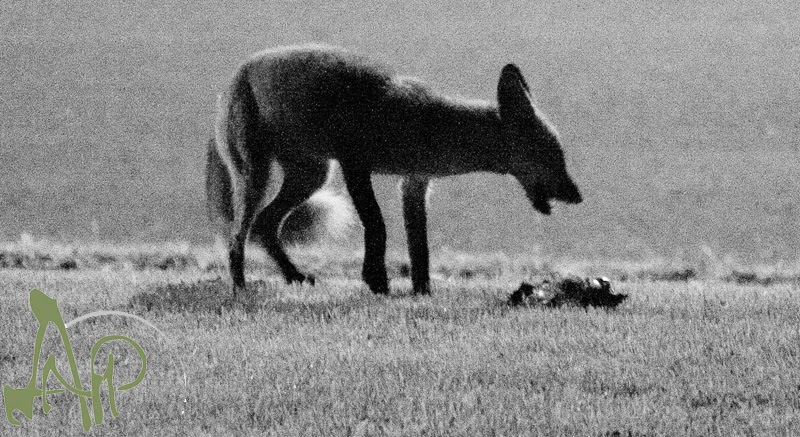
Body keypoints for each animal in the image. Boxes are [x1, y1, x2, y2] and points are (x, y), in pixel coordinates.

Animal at [208, 43, 582, 301]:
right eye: (552, 156)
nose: (578, 196)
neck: (425, 124)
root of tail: (235, 75)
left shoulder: (414, 182)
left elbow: (420, 247)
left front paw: (422, 291)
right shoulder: (355, 163)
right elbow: (378, 226)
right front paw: (377, 281)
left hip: (312, 177)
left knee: (265, 224)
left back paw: (294, 277)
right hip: (257, 176)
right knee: (237, 237)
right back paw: (240, 287)